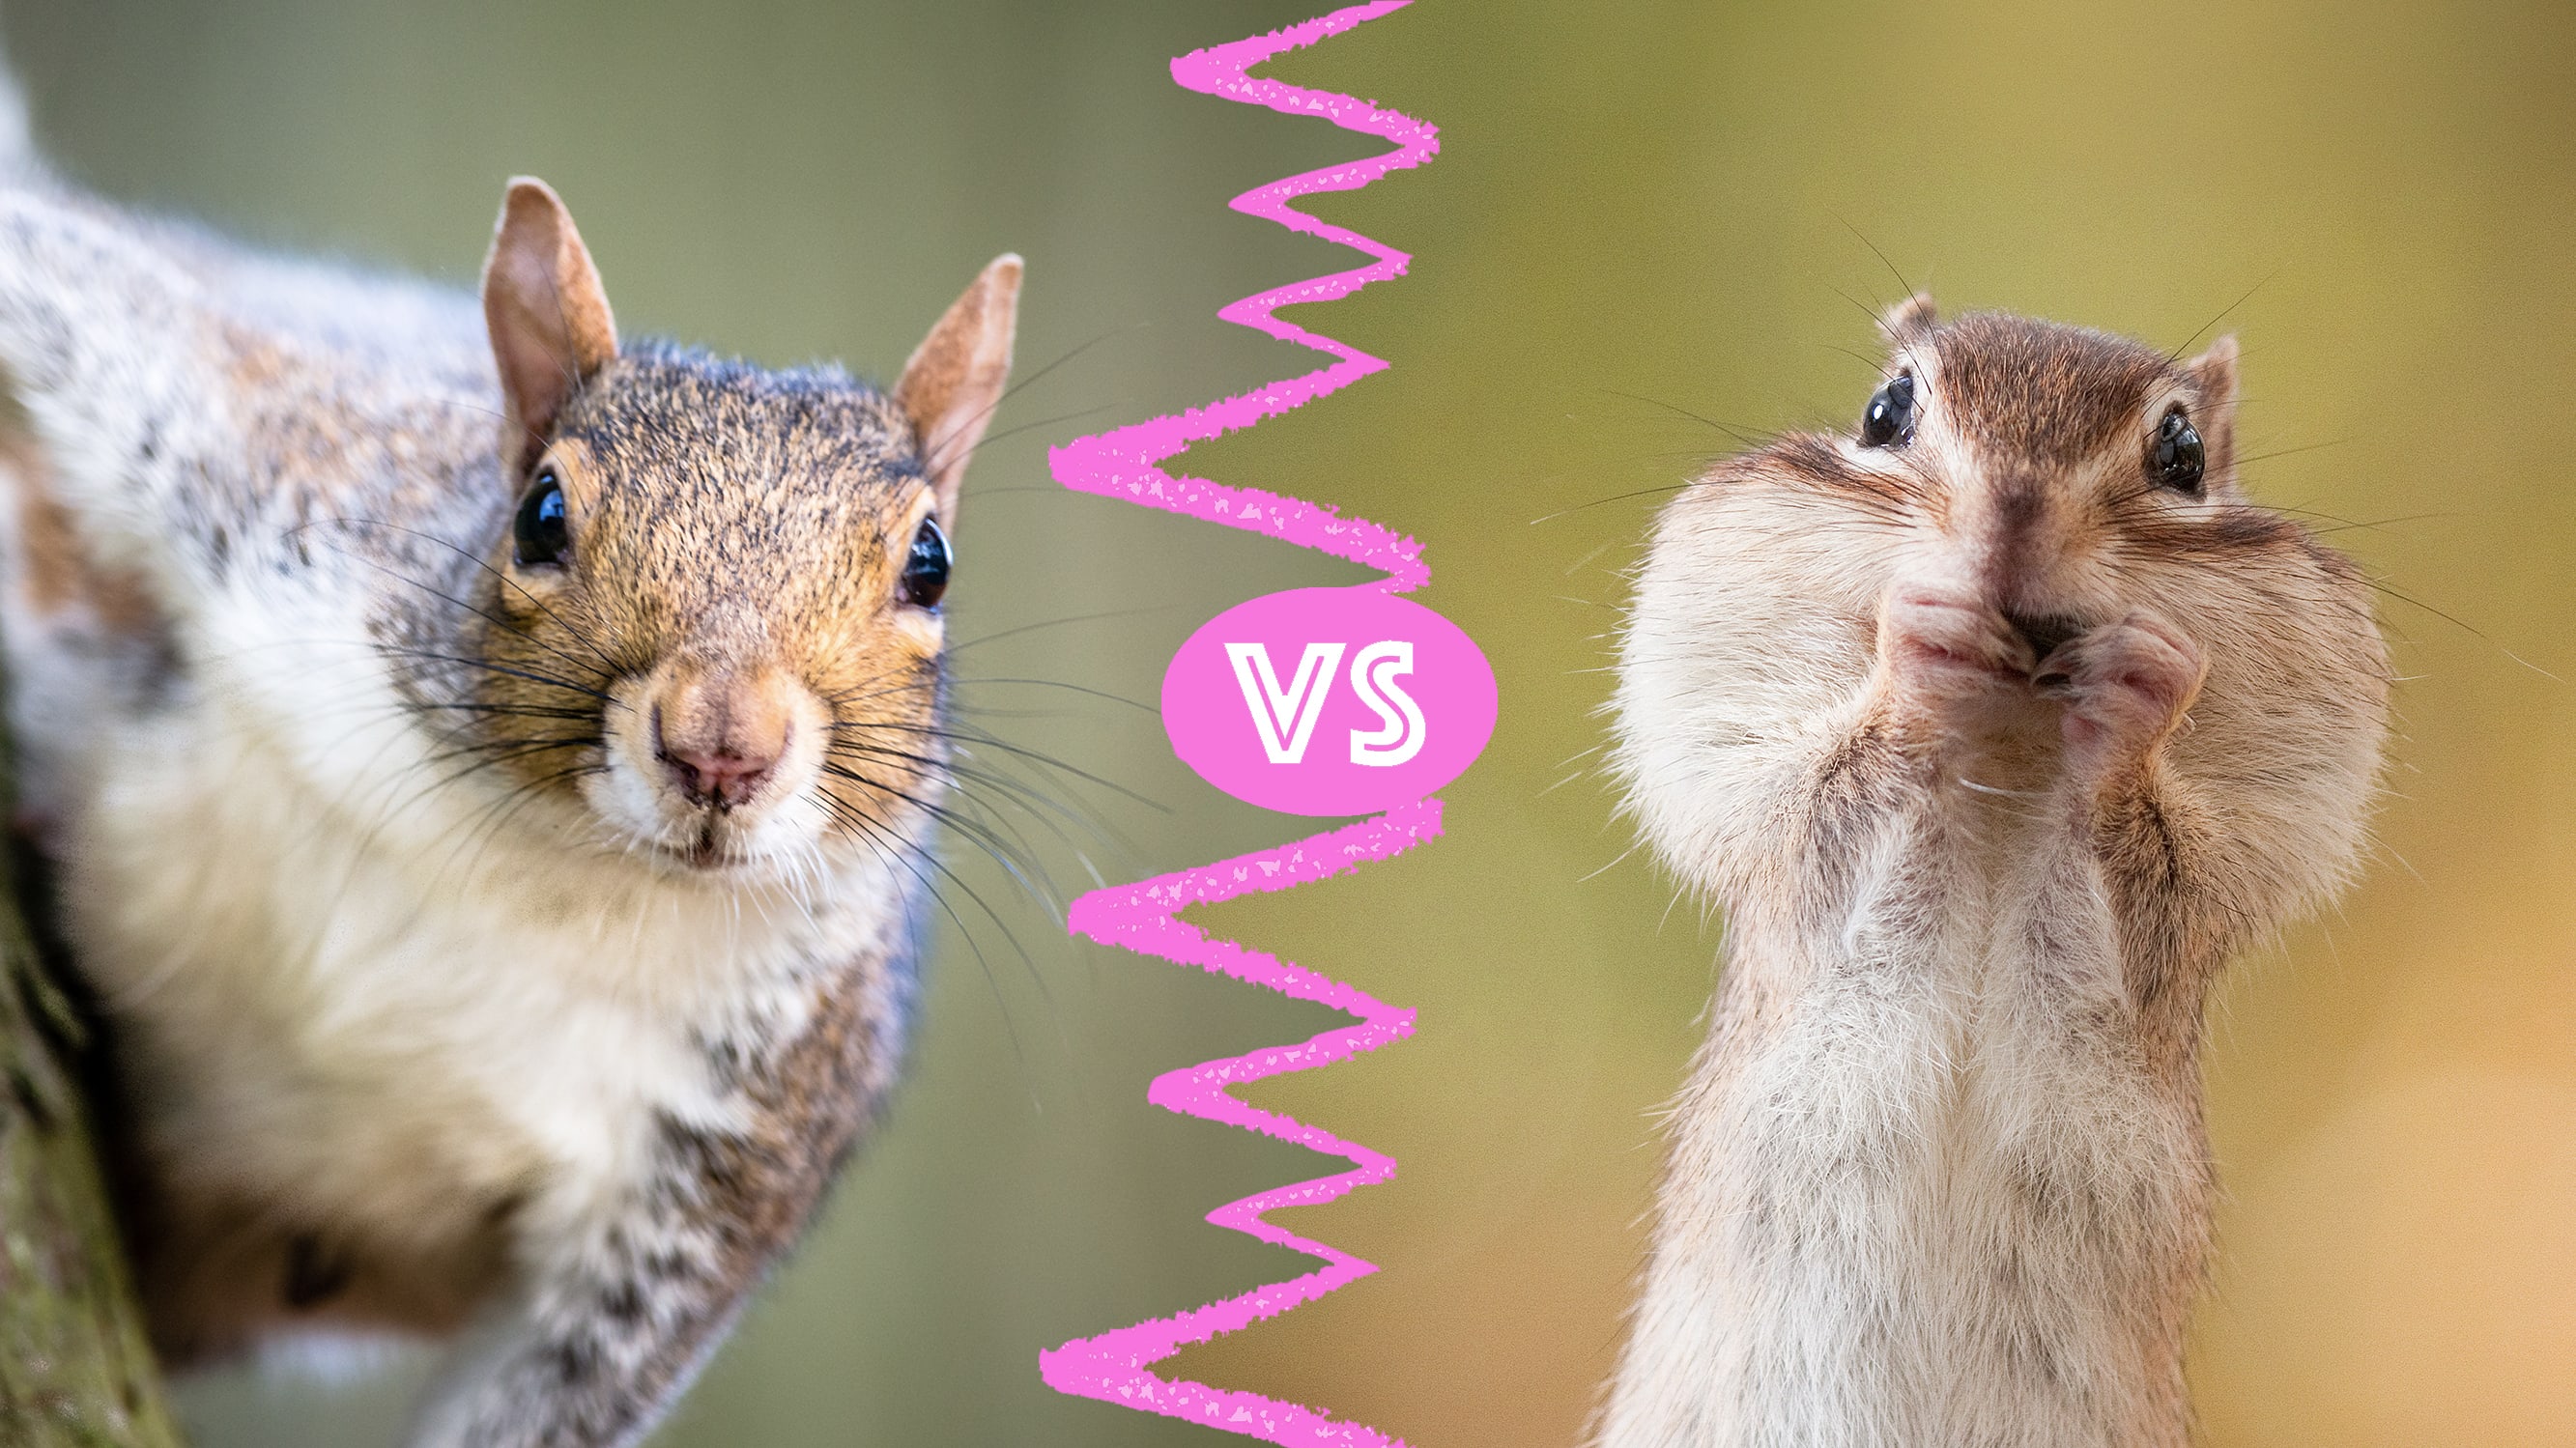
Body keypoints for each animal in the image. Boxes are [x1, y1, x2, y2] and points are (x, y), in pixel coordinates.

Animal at [0, 70, 1020, 1448]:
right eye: (538, 512)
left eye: (930, 563)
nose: (721, 747)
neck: (548, 867)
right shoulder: (271, 465)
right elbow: (76, 285)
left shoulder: (718, 1188)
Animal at [1598, 297, 2389, 1446]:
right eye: (1886, 409)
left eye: (2183, 453)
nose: (2010, 519)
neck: (2013, 723)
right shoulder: (1748, 755)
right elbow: (1817, 796)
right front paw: (1918, 648)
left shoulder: (2246, 835)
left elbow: (2160, 865)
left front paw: (2137, 687)